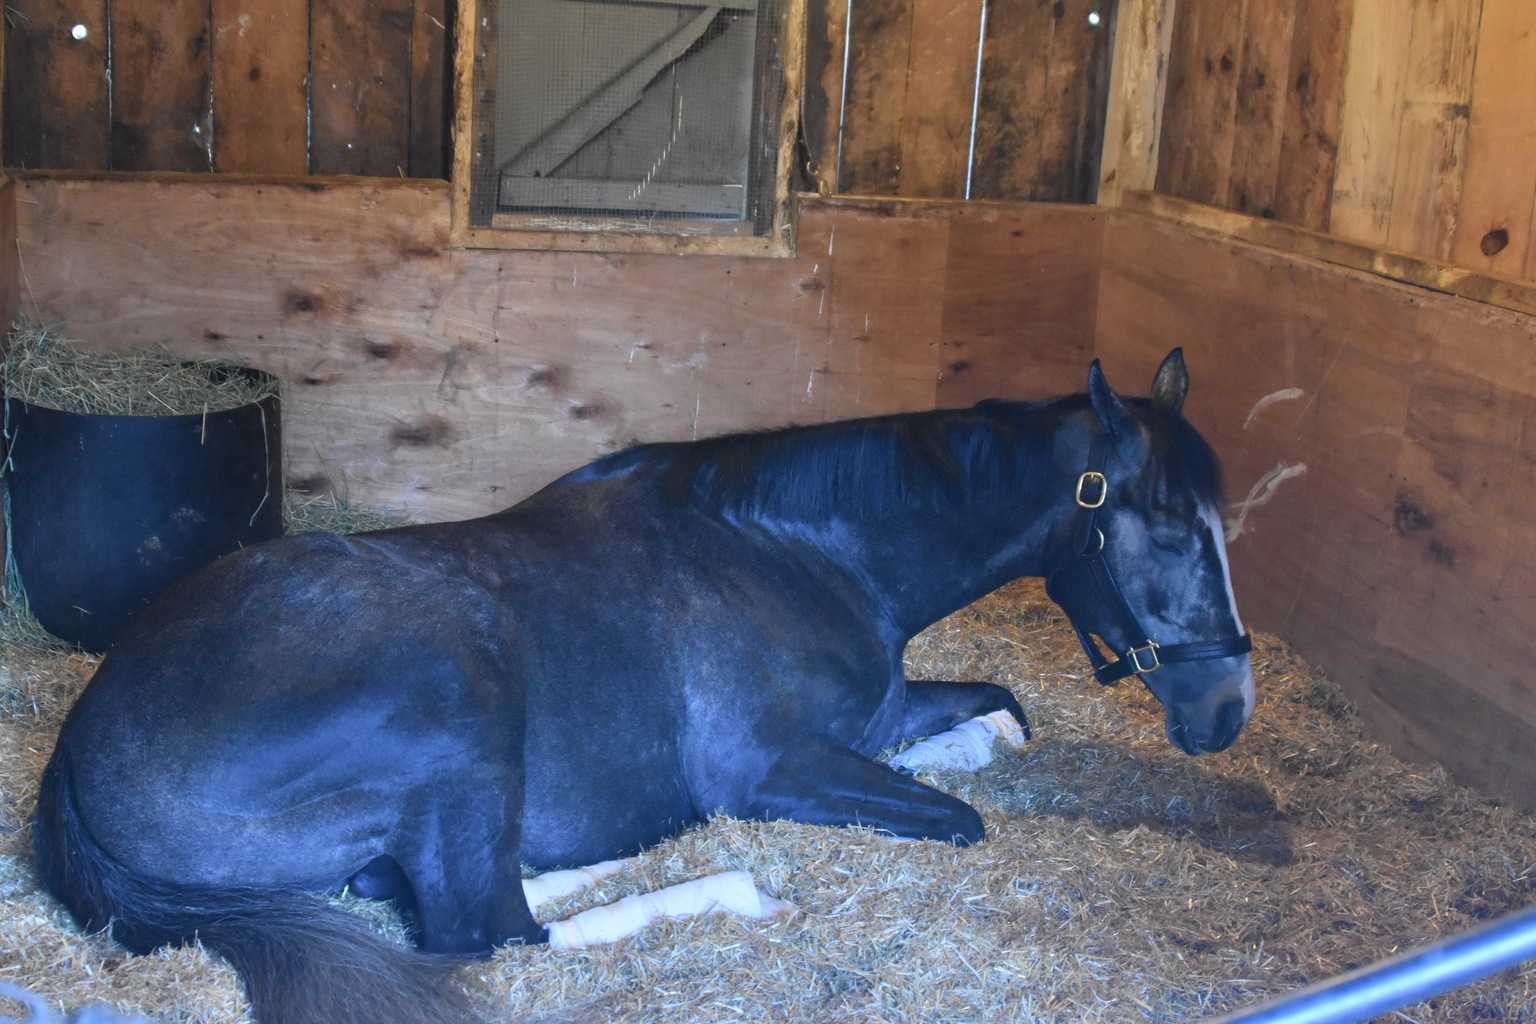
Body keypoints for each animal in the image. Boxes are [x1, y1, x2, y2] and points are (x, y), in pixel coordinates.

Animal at [32, 349, 1253, 1024]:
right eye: (1169, 527)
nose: (1229, 710)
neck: (797, 547)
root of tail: (83, 743)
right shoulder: (775, 768)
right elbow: (959, 816)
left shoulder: (876, 713)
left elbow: (1002, 712)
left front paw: (979, 742)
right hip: (459, 708)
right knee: (486, 934)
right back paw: (728, 886)